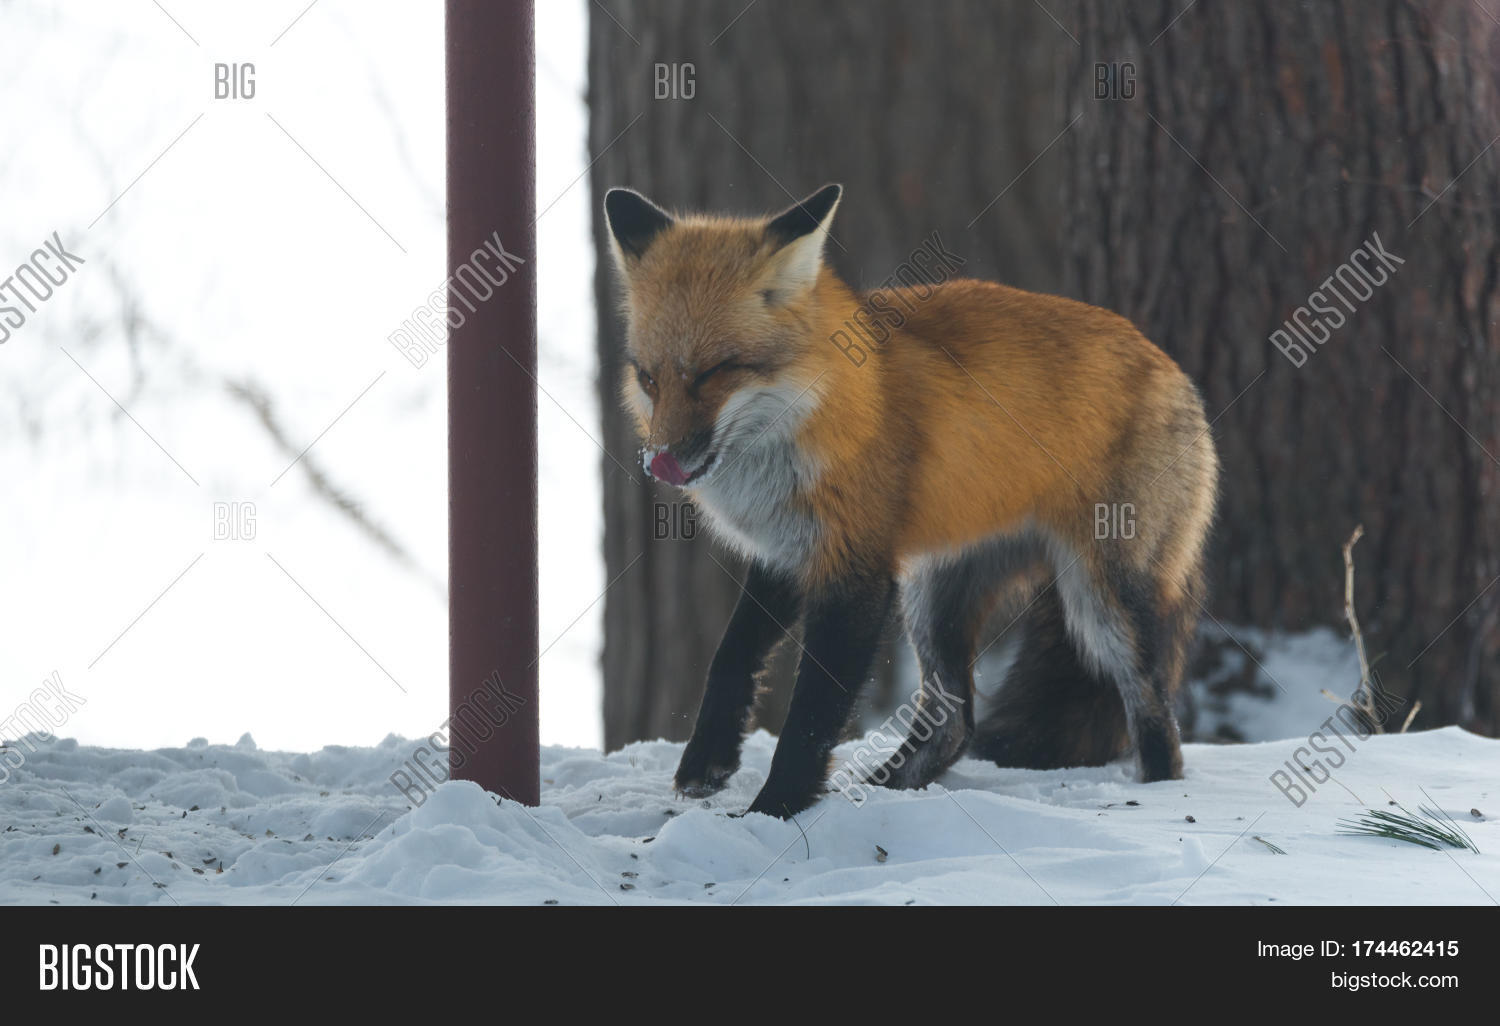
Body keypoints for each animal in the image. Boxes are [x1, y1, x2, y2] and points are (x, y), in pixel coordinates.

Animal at [603, 182, 1219, 819]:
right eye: (649, 379)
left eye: (715, 372)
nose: (659, 460)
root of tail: (1172, 367)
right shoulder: (787, 552)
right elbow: (730, 658)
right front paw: (707, 764)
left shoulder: (856, 571)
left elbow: (812, 715)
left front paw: (774, 811)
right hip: (934, 597)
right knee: (954, 721)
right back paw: (885, 792)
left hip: (1100, 598)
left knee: (1155, 708)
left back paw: (1157, 795)